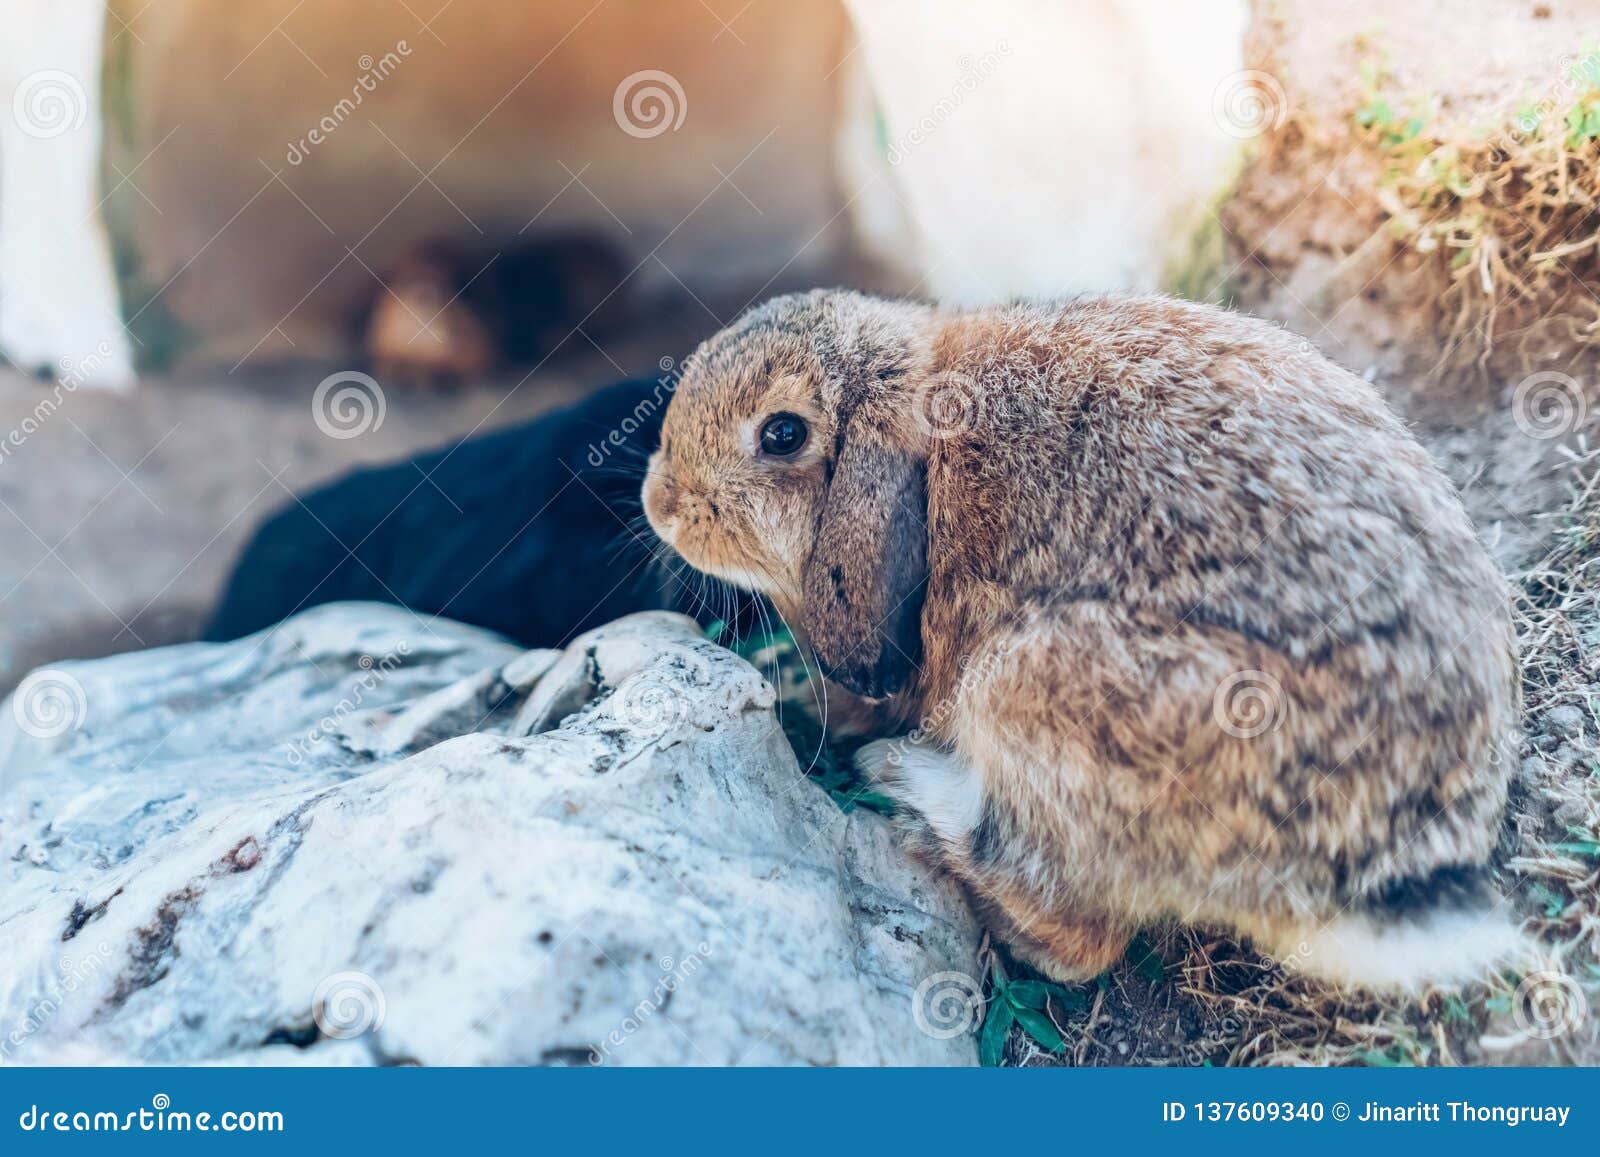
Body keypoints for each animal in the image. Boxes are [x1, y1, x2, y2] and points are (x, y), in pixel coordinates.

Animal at [641, 288, 1524, 991]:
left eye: (782, 434)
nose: (661, 502)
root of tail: (1378, 872)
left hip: (1031, 687)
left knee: (1075, 935)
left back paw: (907, 795)